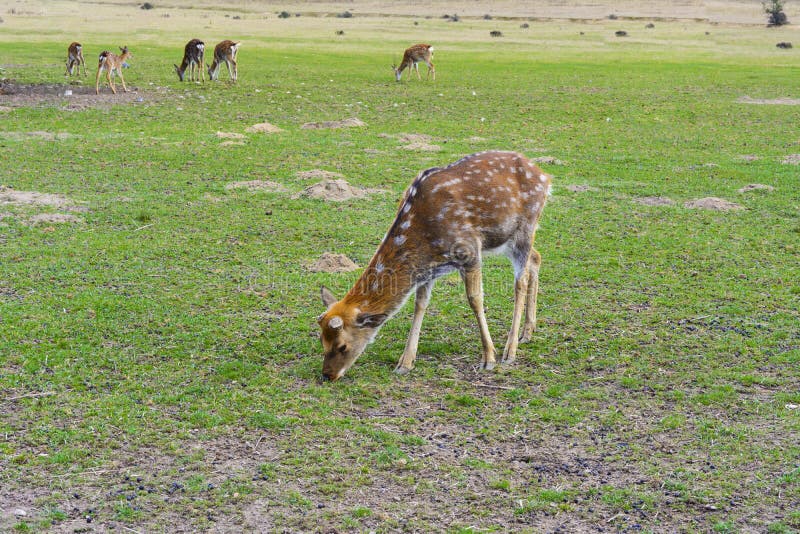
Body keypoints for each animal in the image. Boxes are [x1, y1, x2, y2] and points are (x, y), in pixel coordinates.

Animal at [317, 151, 551, 381]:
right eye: (322, 341)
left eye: (342, 346)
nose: (328, 375)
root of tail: (545, 176)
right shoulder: (428, 270)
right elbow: (420, 303)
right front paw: (405, 363)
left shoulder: (469, 251)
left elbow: (475, 299)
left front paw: (489, 358)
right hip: (508, 239)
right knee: (536, 257)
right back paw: (527, 332)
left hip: (525, 227)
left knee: (520, 281)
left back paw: (510, 350)